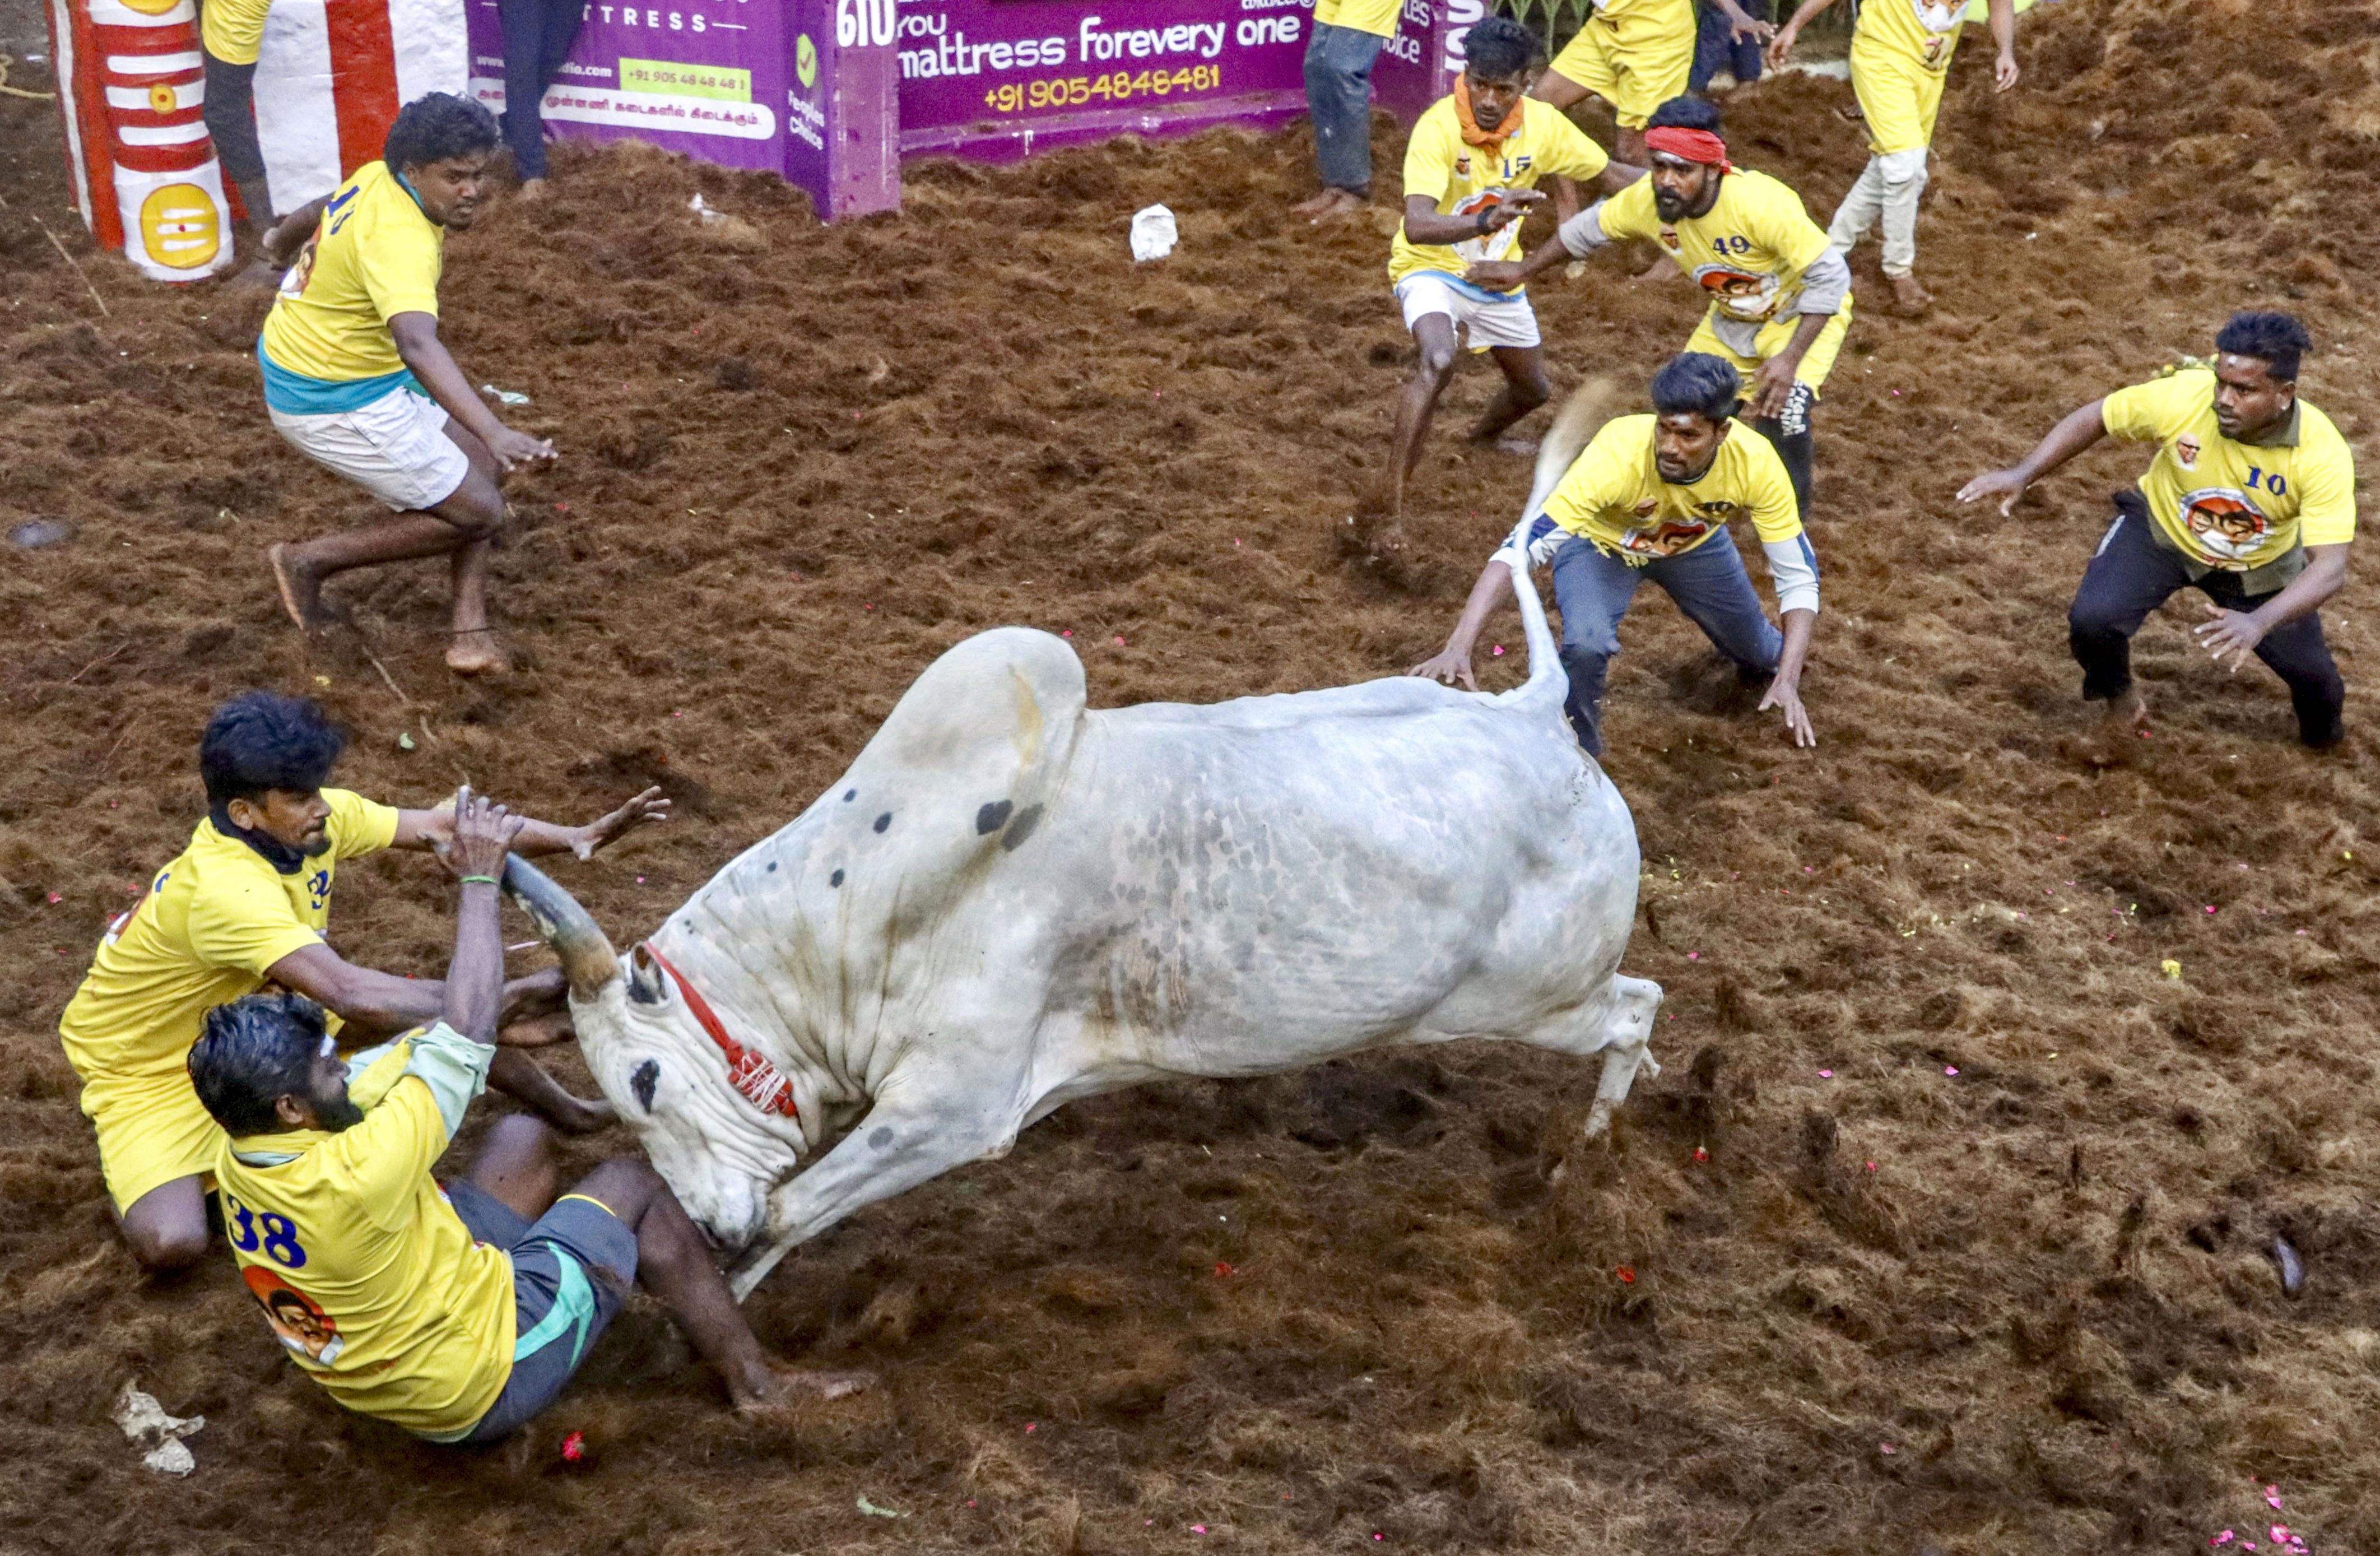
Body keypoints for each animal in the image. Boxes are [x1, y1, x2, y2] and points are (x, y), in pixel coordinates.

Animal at [504, 404, 1661, 1301]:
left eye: (645, 1078)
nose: (708, 1223)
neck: (862, 899)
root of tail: (1535, 715)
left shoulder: (953, 1106)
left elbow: (795, 1205)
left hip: (1531, 996)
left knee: (1635, 1008)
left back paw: (1585, 1163)